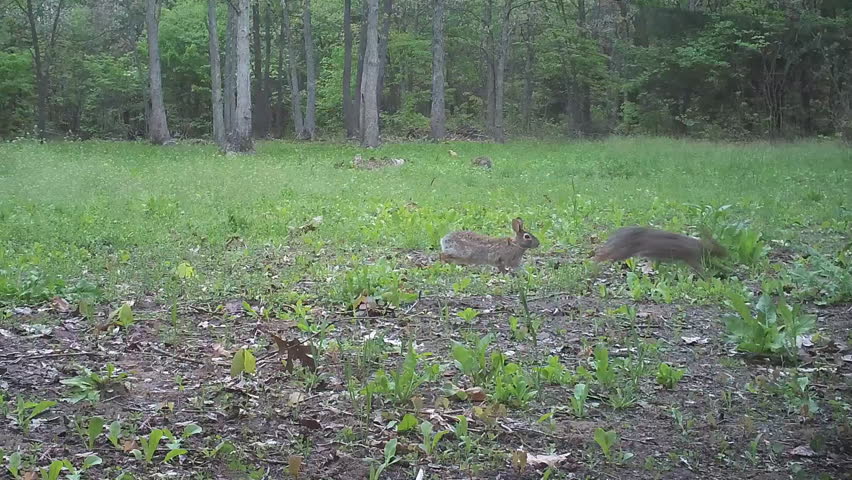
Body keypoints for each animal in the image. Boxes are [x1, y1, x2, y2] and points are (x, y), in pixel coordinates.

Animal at [594, 226, 726, 272]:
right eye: (717, 246)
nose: (727, 254)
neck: (699, 245)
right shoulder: (692, 258)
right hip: (623, 251)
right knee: (604, 255)